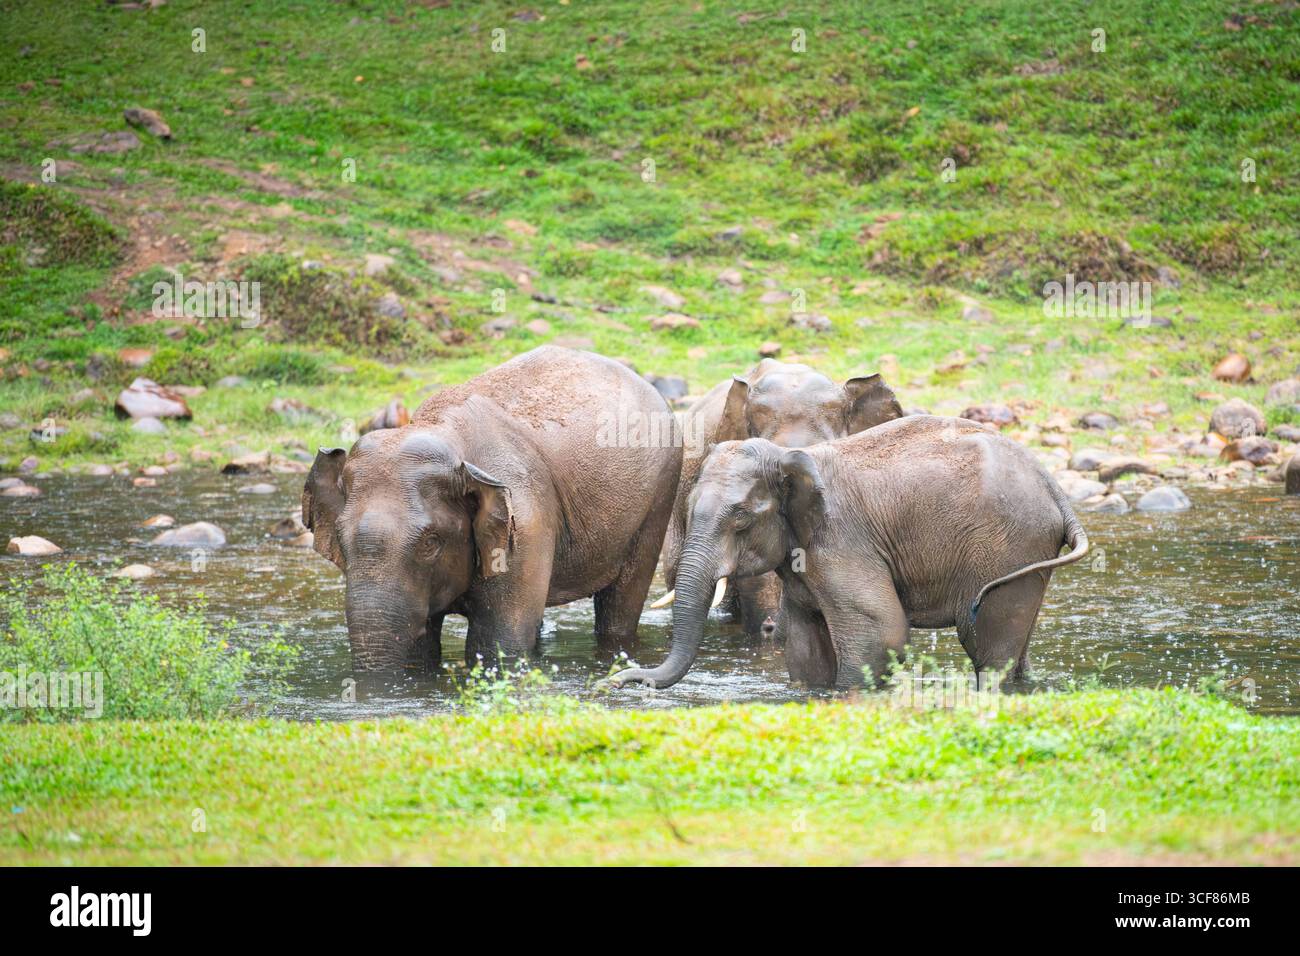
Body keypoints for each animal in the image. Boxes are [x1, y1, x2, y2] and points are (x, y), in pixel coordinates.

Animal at [303, 346, 682, 672]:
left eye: (430, 543)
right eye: (340, 538)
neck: (445, 433)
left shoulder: (525, 524)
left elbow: (496, 644)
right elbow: (422, 645)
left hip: (659, 495)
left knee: (621, 603)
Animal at [612, 415, 1088, 691]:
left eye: (742, 518)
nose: (619, 681)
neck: (791, 457)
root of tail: (1055, 490)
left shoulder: (840, 541)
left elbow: (882, 631)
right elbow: (805, 647)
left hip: (1007, 546)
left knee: (987, 647)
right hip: (1023, 555)